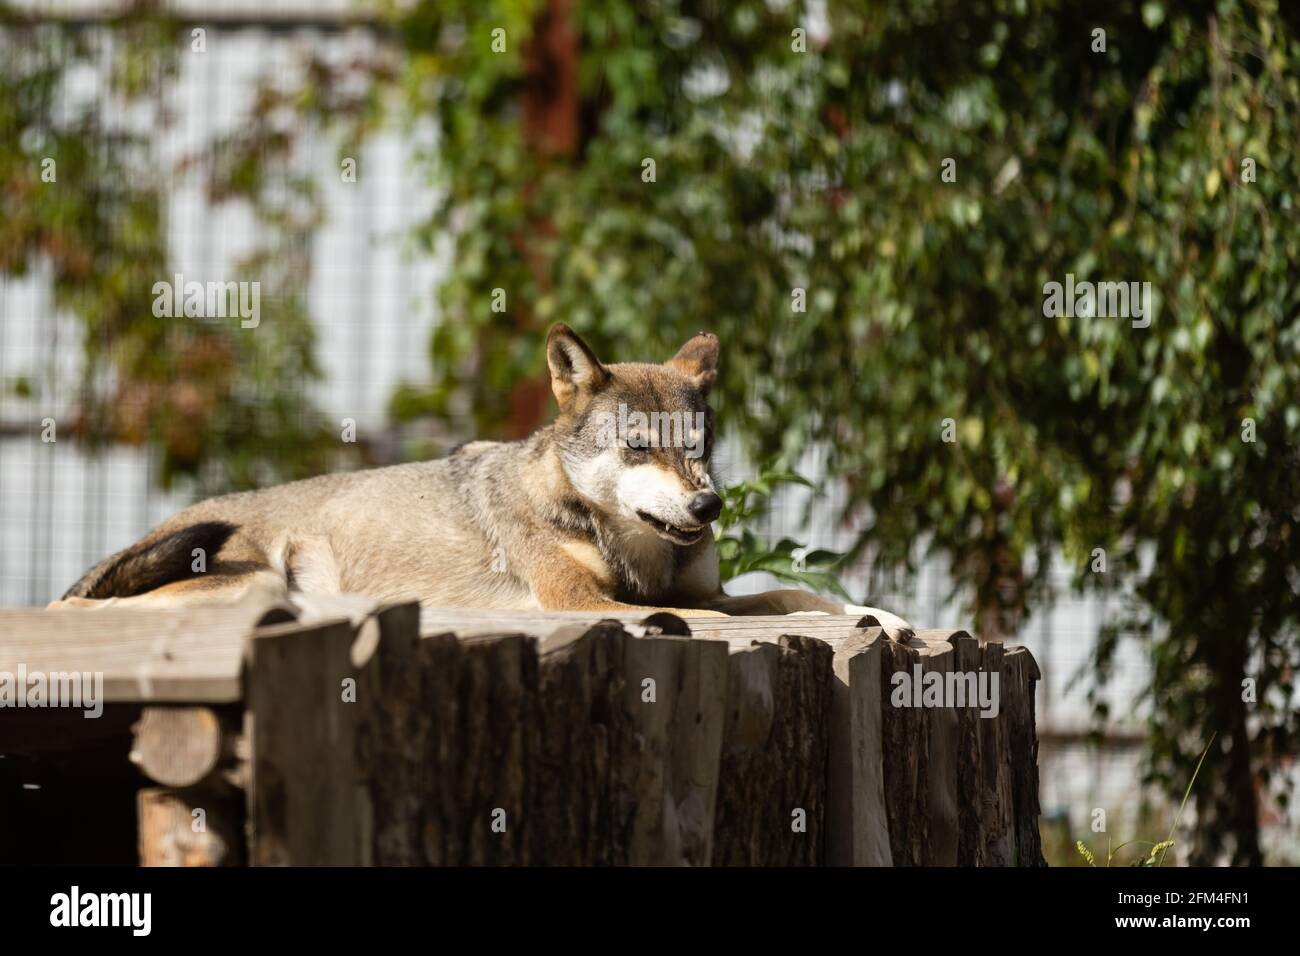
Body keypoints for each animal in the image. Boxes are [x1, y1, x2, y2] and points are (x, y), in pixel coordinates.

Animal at [55, 325, 913, 638]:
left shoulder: (716, 592)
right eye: (639, 448)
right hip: (245, 580)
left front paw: (879, 613)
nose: (710, 504)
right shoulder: (586, 600)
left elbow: (796, 594)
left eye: (698, 445)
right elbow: (708, 617)